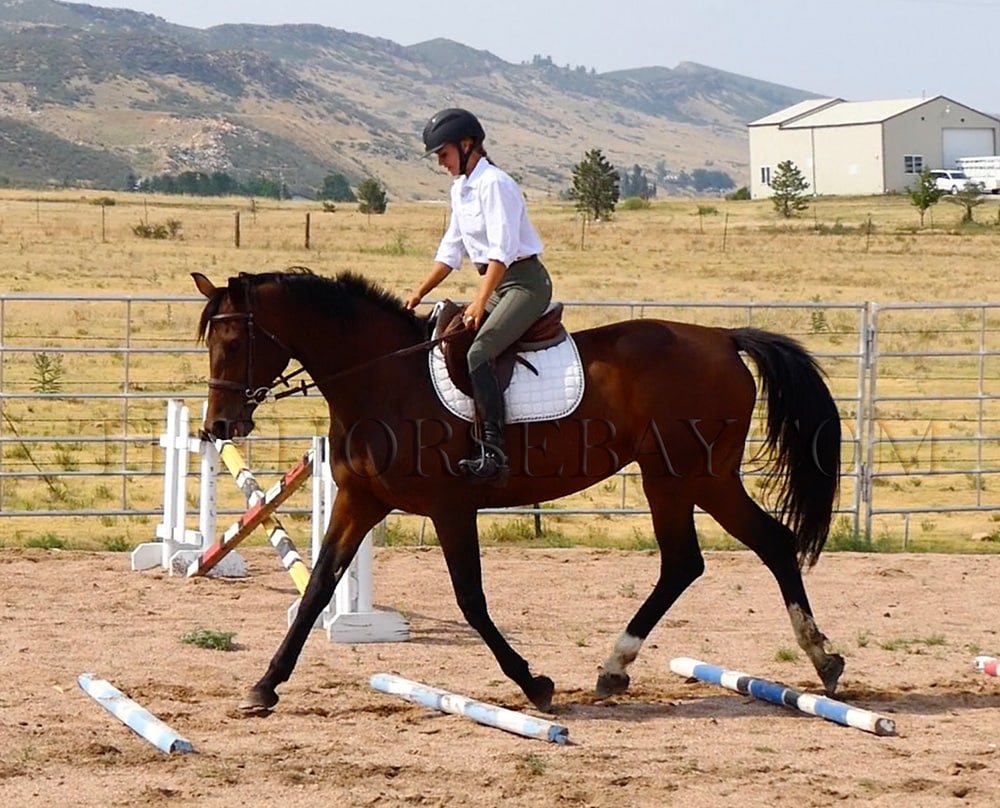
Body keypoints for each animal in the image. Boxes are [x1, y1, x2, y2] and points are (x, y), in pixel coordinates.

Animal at [192, 268, 845, 714]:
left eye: (235, 344)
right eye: (210, 344)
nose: (217, 427)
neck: (383, 377)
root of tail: (722, 337)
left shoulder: (451, 508)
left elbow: (471, 600)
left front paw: (535, 684)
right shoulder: (360, 501)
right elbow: (317, 589)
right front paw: (264, 685)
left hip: (687, 475)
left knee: (720, 554)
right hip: (690, 478)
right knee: (733, 551)